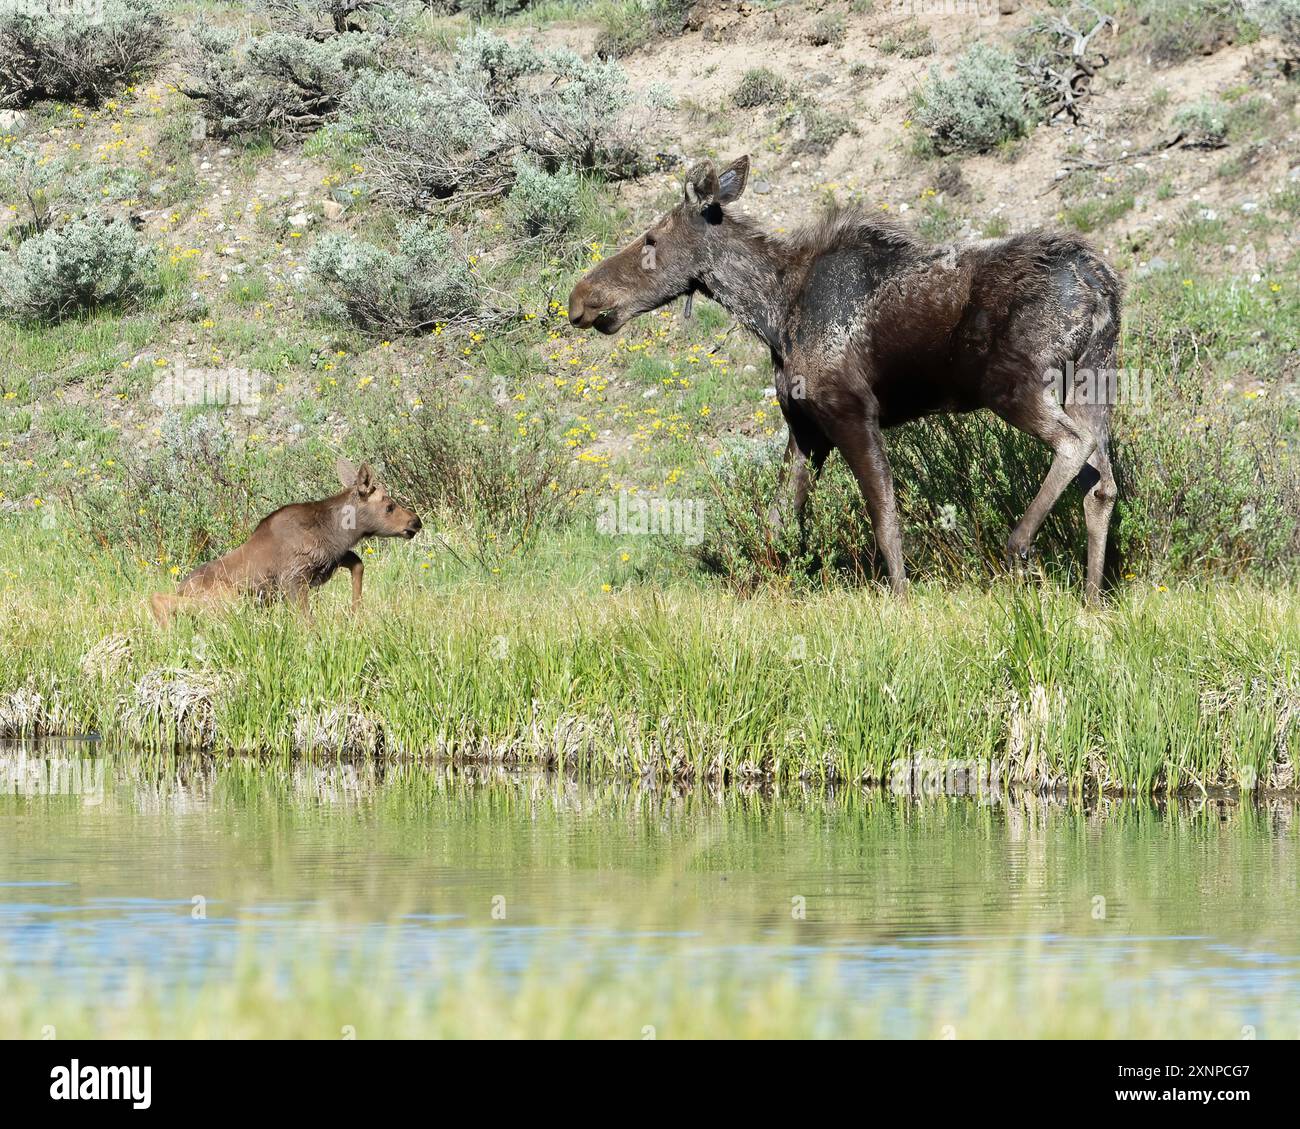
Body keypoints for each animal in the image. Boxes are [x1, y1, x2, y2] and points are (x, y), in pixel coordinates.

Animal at [149, 458, 422, 628]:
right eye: (389, 506)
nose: (415, 521)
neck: (337, 532)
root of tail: (181, 587)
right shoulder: (294, 577)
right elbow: (307, 621)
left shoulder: (330, 561)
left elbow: (358, 564)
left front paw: (355, 613)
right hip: (229, 598)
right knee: (159, 598)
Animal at [567, 155, 1122, 601]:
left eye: (651, 239)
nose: (581, 299)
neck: (770, 312)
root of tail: (1103, 285)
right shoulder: (806, 429)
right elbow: (779, 522)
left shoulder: (850, 410)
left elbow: (885, 517)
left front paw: (901, 599)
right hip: (1092, 380)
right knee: (1102, 485)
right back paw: (1092, 599)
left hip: (1014, 385)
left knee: (1073, 447)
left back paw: (1019, 546)